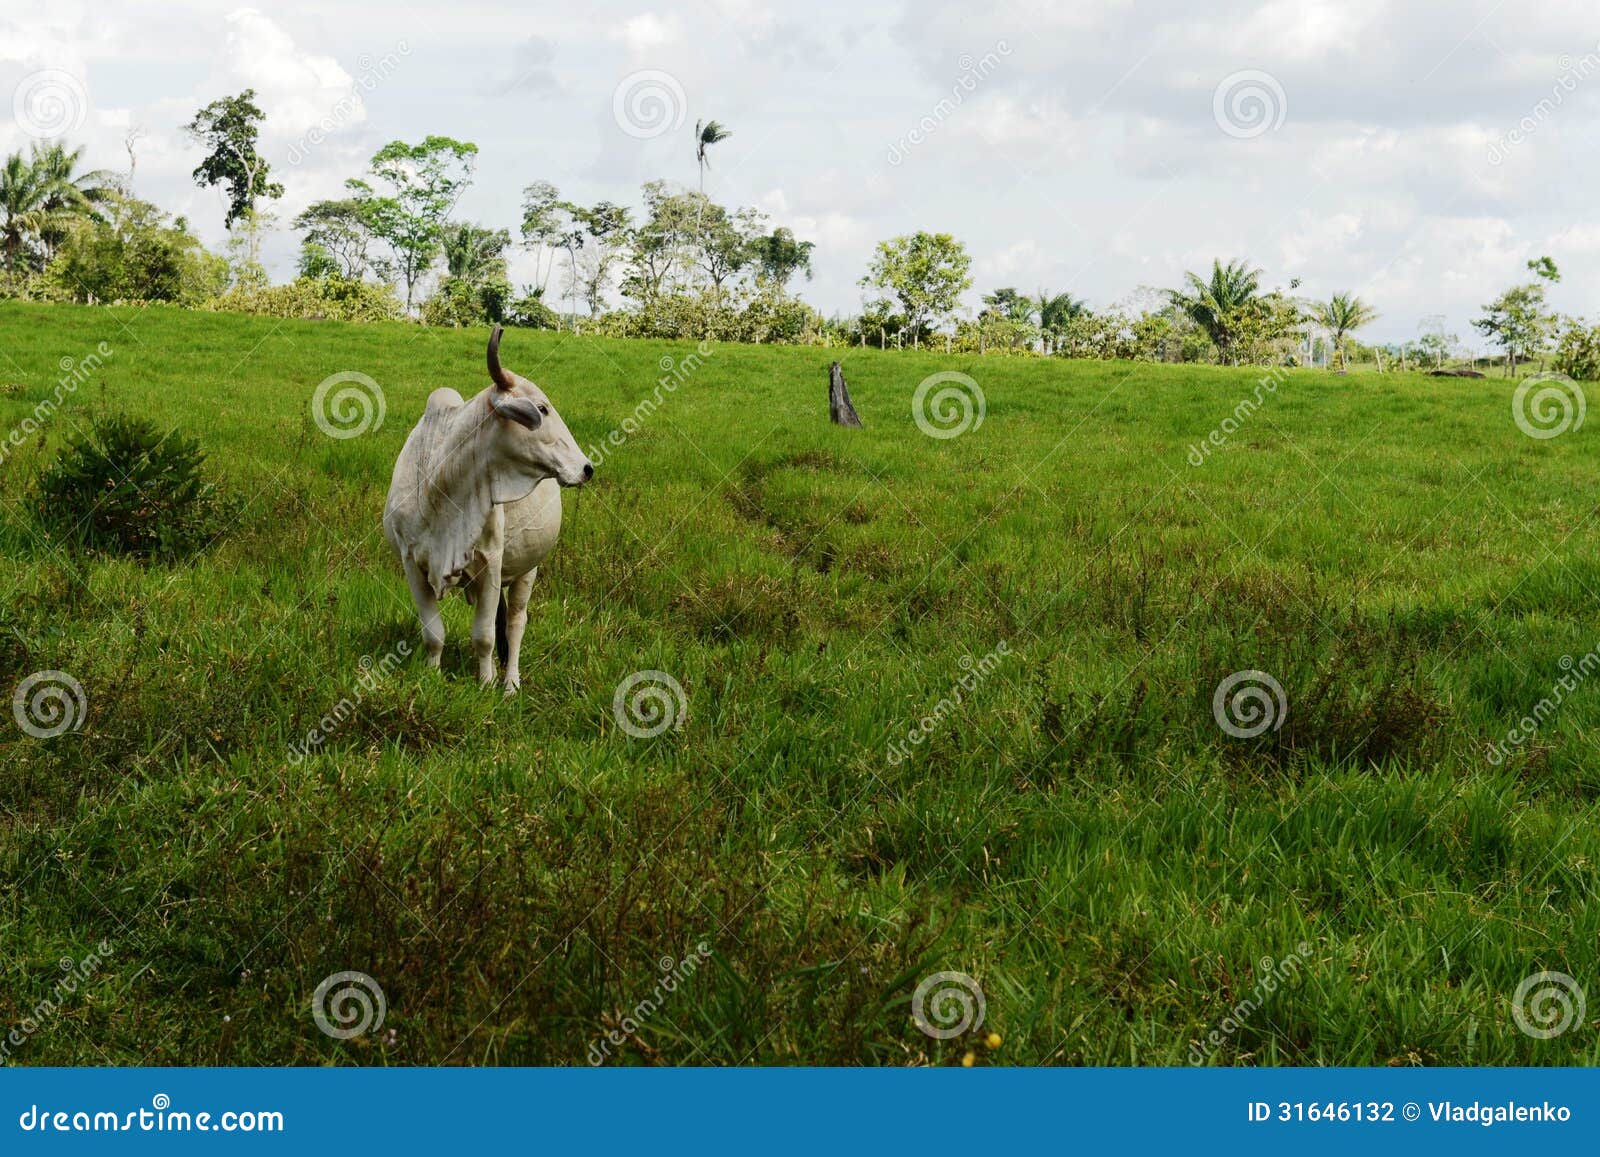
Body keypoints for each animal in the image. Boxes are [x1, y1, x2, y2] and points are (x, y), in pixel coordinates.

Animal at [383, 325, 592, 694]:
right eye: (542, 408)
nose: (586, 468)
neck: (443, 482)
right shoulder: (412, 563)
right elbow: (433, 633)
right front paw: (432, 676)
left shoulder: (491, 560)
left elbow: (483, 636)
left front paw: (485, 683)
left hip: (527, 569)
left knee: (514, 623)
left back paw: (510, 682)